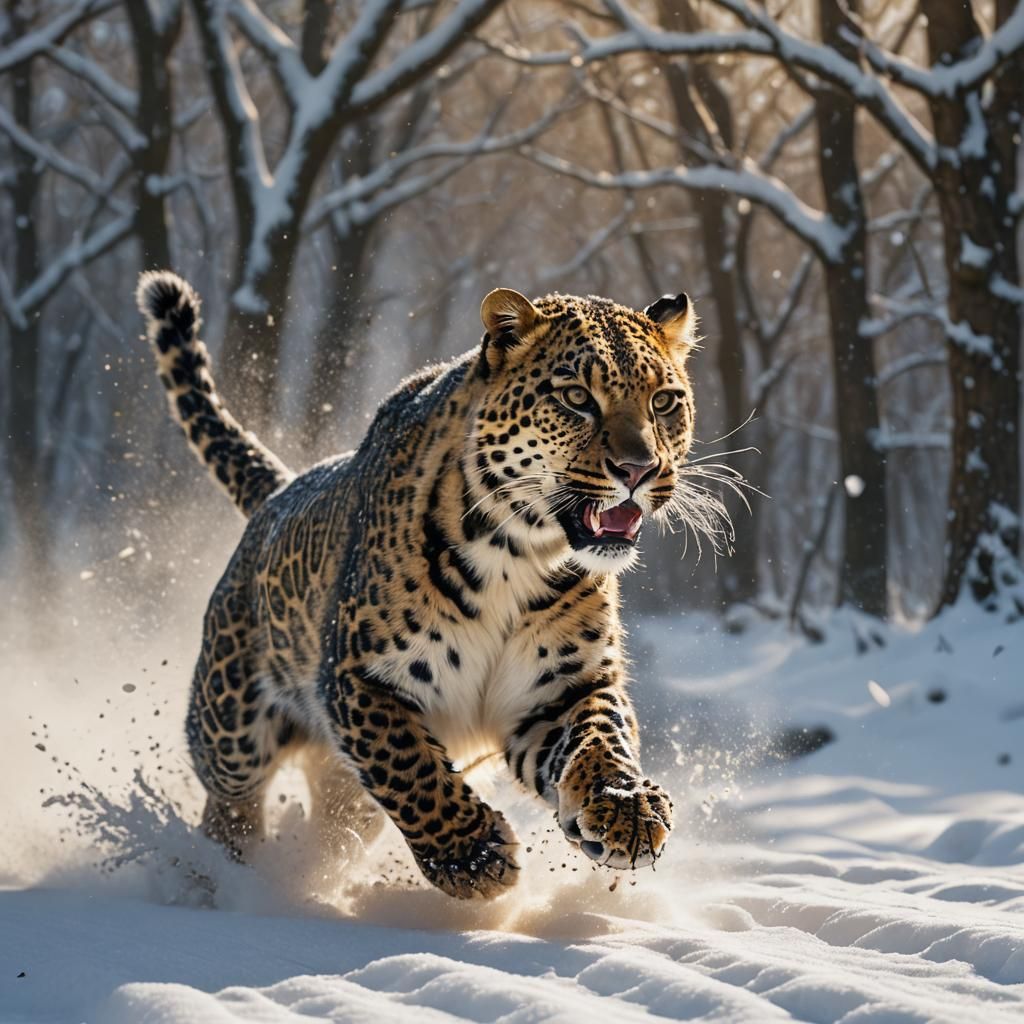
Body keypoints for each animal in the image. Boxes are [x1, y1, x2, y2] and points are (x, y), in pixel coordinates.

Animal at [135, 271, 705, 899]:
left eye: (664, 402)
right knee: (229, 805)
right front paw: (471, 856)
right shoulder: (360, 677)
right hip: (230, 724)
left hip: (337, 784)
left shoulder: (559, 690)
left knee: (336, 825)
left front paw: (623, 810)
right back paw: (224, 878)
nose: (640, 470)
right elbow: (408, 767)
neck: (519, 551)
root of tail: (280, 491)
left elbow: (600, 737)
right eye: (576, 398)